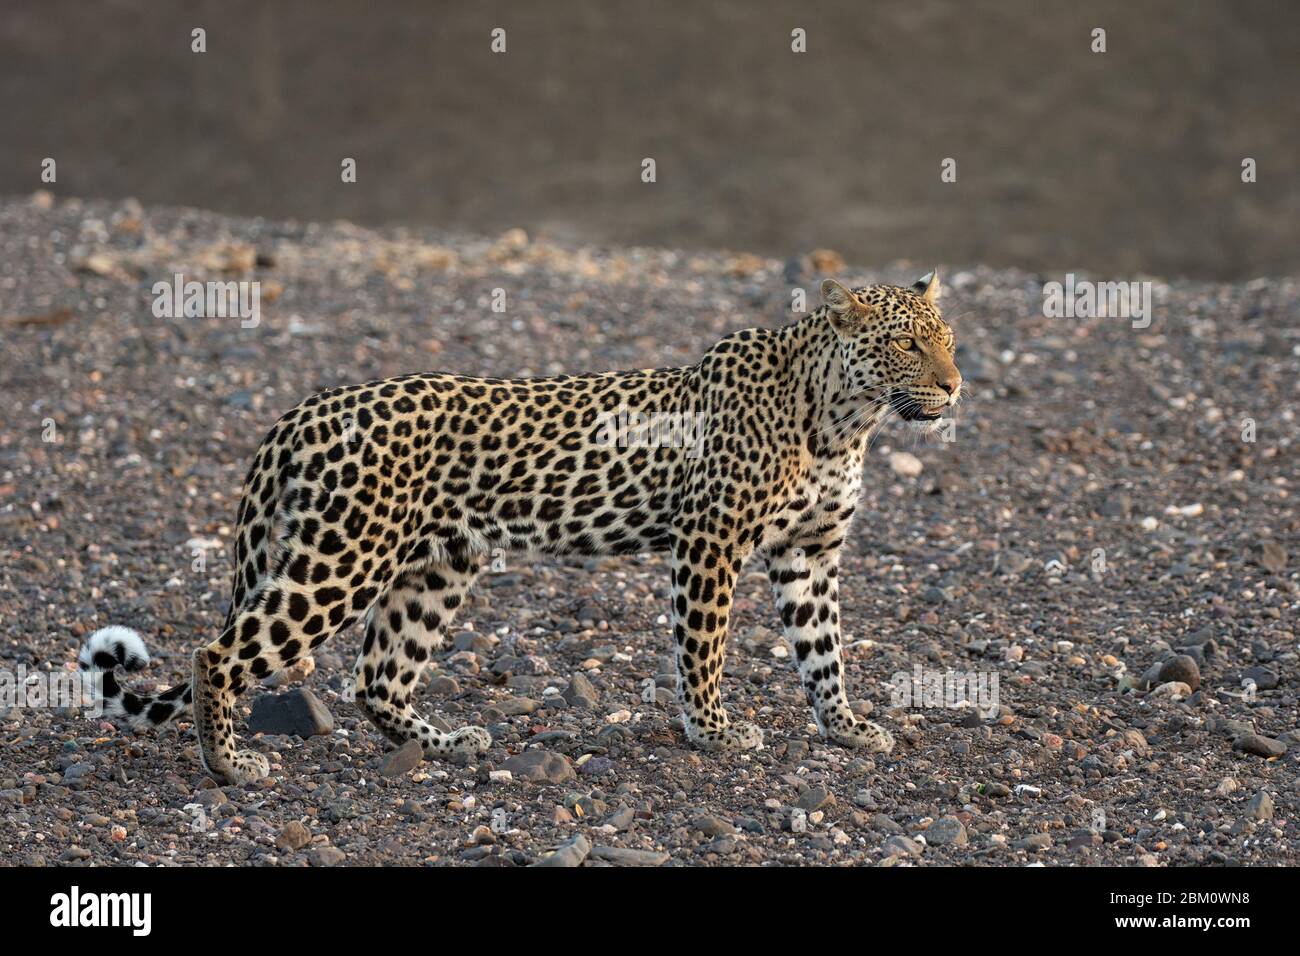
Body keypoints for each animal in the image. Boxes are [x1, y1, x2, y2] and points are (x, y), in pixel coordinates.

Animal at [77, 270, 963, 785]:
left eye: (949, 340)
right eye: (906, 344)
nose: (955, 387)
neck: (842, 421)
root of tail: (299, 413)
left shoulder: (809, 552)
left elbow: (824, 650)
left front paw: (848, 728)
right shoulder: (711, 543)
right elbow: (703, 649)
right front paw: (713, 733)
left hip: (438, 565)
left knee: (376, 677)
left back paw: (444, 744)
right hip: (343, 558)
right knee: (219, 653)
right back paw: (229, 765)